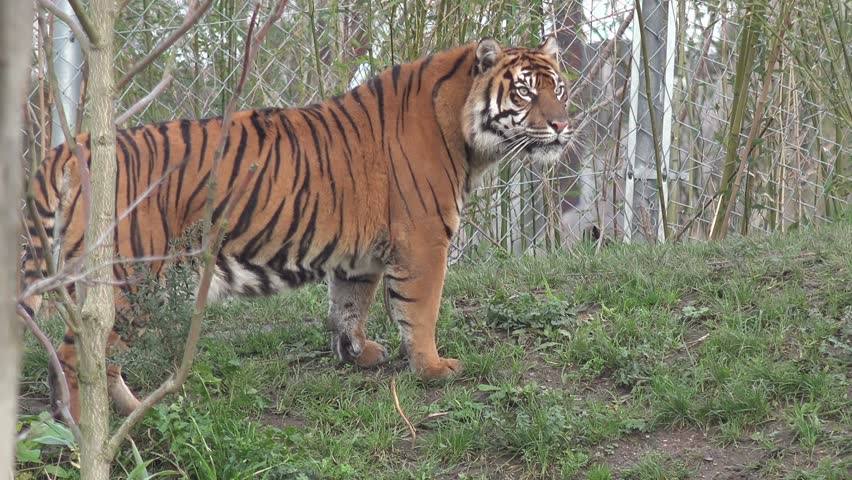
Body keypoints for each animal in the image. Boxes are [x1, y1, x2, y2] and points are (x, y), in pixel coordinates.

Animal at [20, 36, 574, 422]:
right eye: (525, 91)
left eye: (559, 89)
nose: (563, 125)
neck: (464, 132)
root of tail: (69, 146)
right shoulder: (423, 241)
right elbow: (420, 312)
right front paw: (433, 369)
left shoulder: (363, 254)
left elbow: (349, 305)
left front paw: (357, 354)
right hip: (127, 281)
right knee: (76, 356)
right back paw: (87, 429)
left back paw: (129, 414)